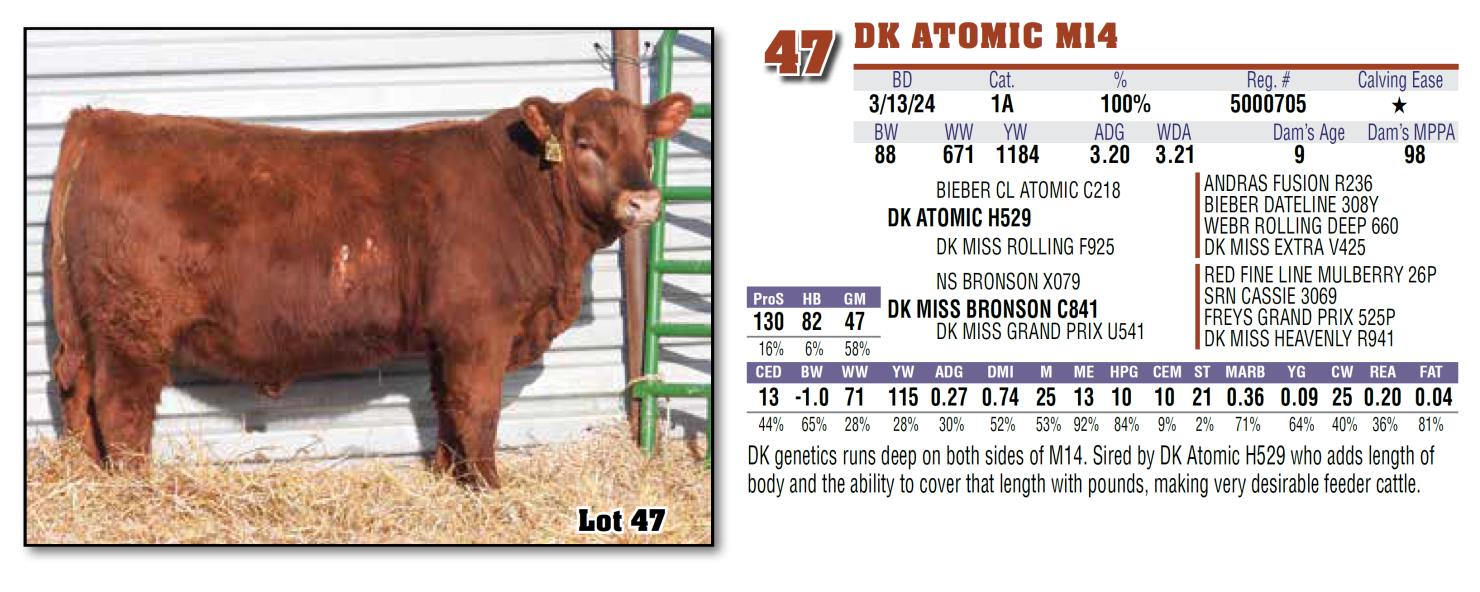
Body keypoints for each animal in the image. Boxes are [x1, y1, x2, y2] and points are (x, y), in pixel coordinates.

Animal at [45, 88, 693, 488]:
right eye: (583, 142)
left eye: (646, 142)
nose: (643, 200)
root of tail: (99, 120)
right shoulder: (479, 326)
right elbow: (478, 406)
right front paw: (489, 487)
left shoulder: (444, 334)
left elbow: (447, 403)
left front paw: (450, 477)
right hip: (132, 324)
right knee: (120, 406)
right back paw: (138, 489)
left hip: (88, 325)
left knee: (76, 393)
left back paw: (90, 478)